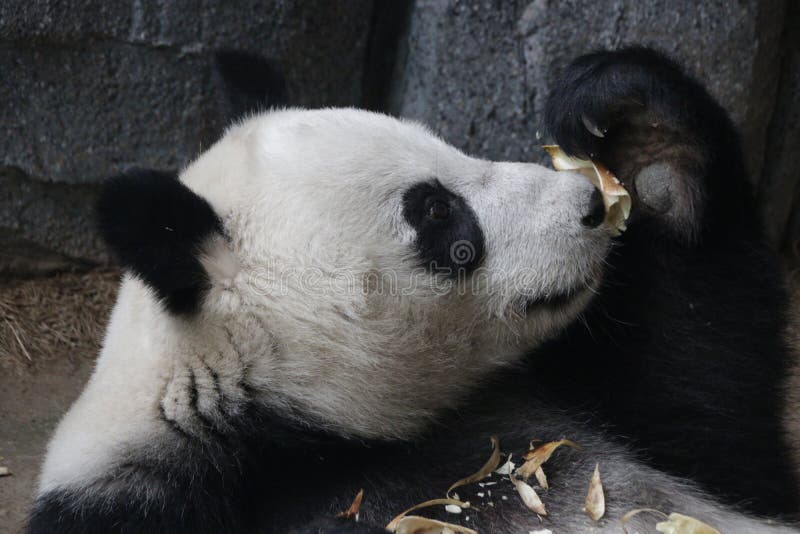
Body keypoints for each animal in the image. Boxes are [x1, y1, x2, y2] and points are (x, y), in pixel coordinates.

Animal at [27, 48, 800, 533]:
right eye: (437, 214)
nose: (586, 207)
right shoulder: (160, 503)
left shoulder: (568, 395)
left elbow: (713, 409)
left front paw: (641, 125)